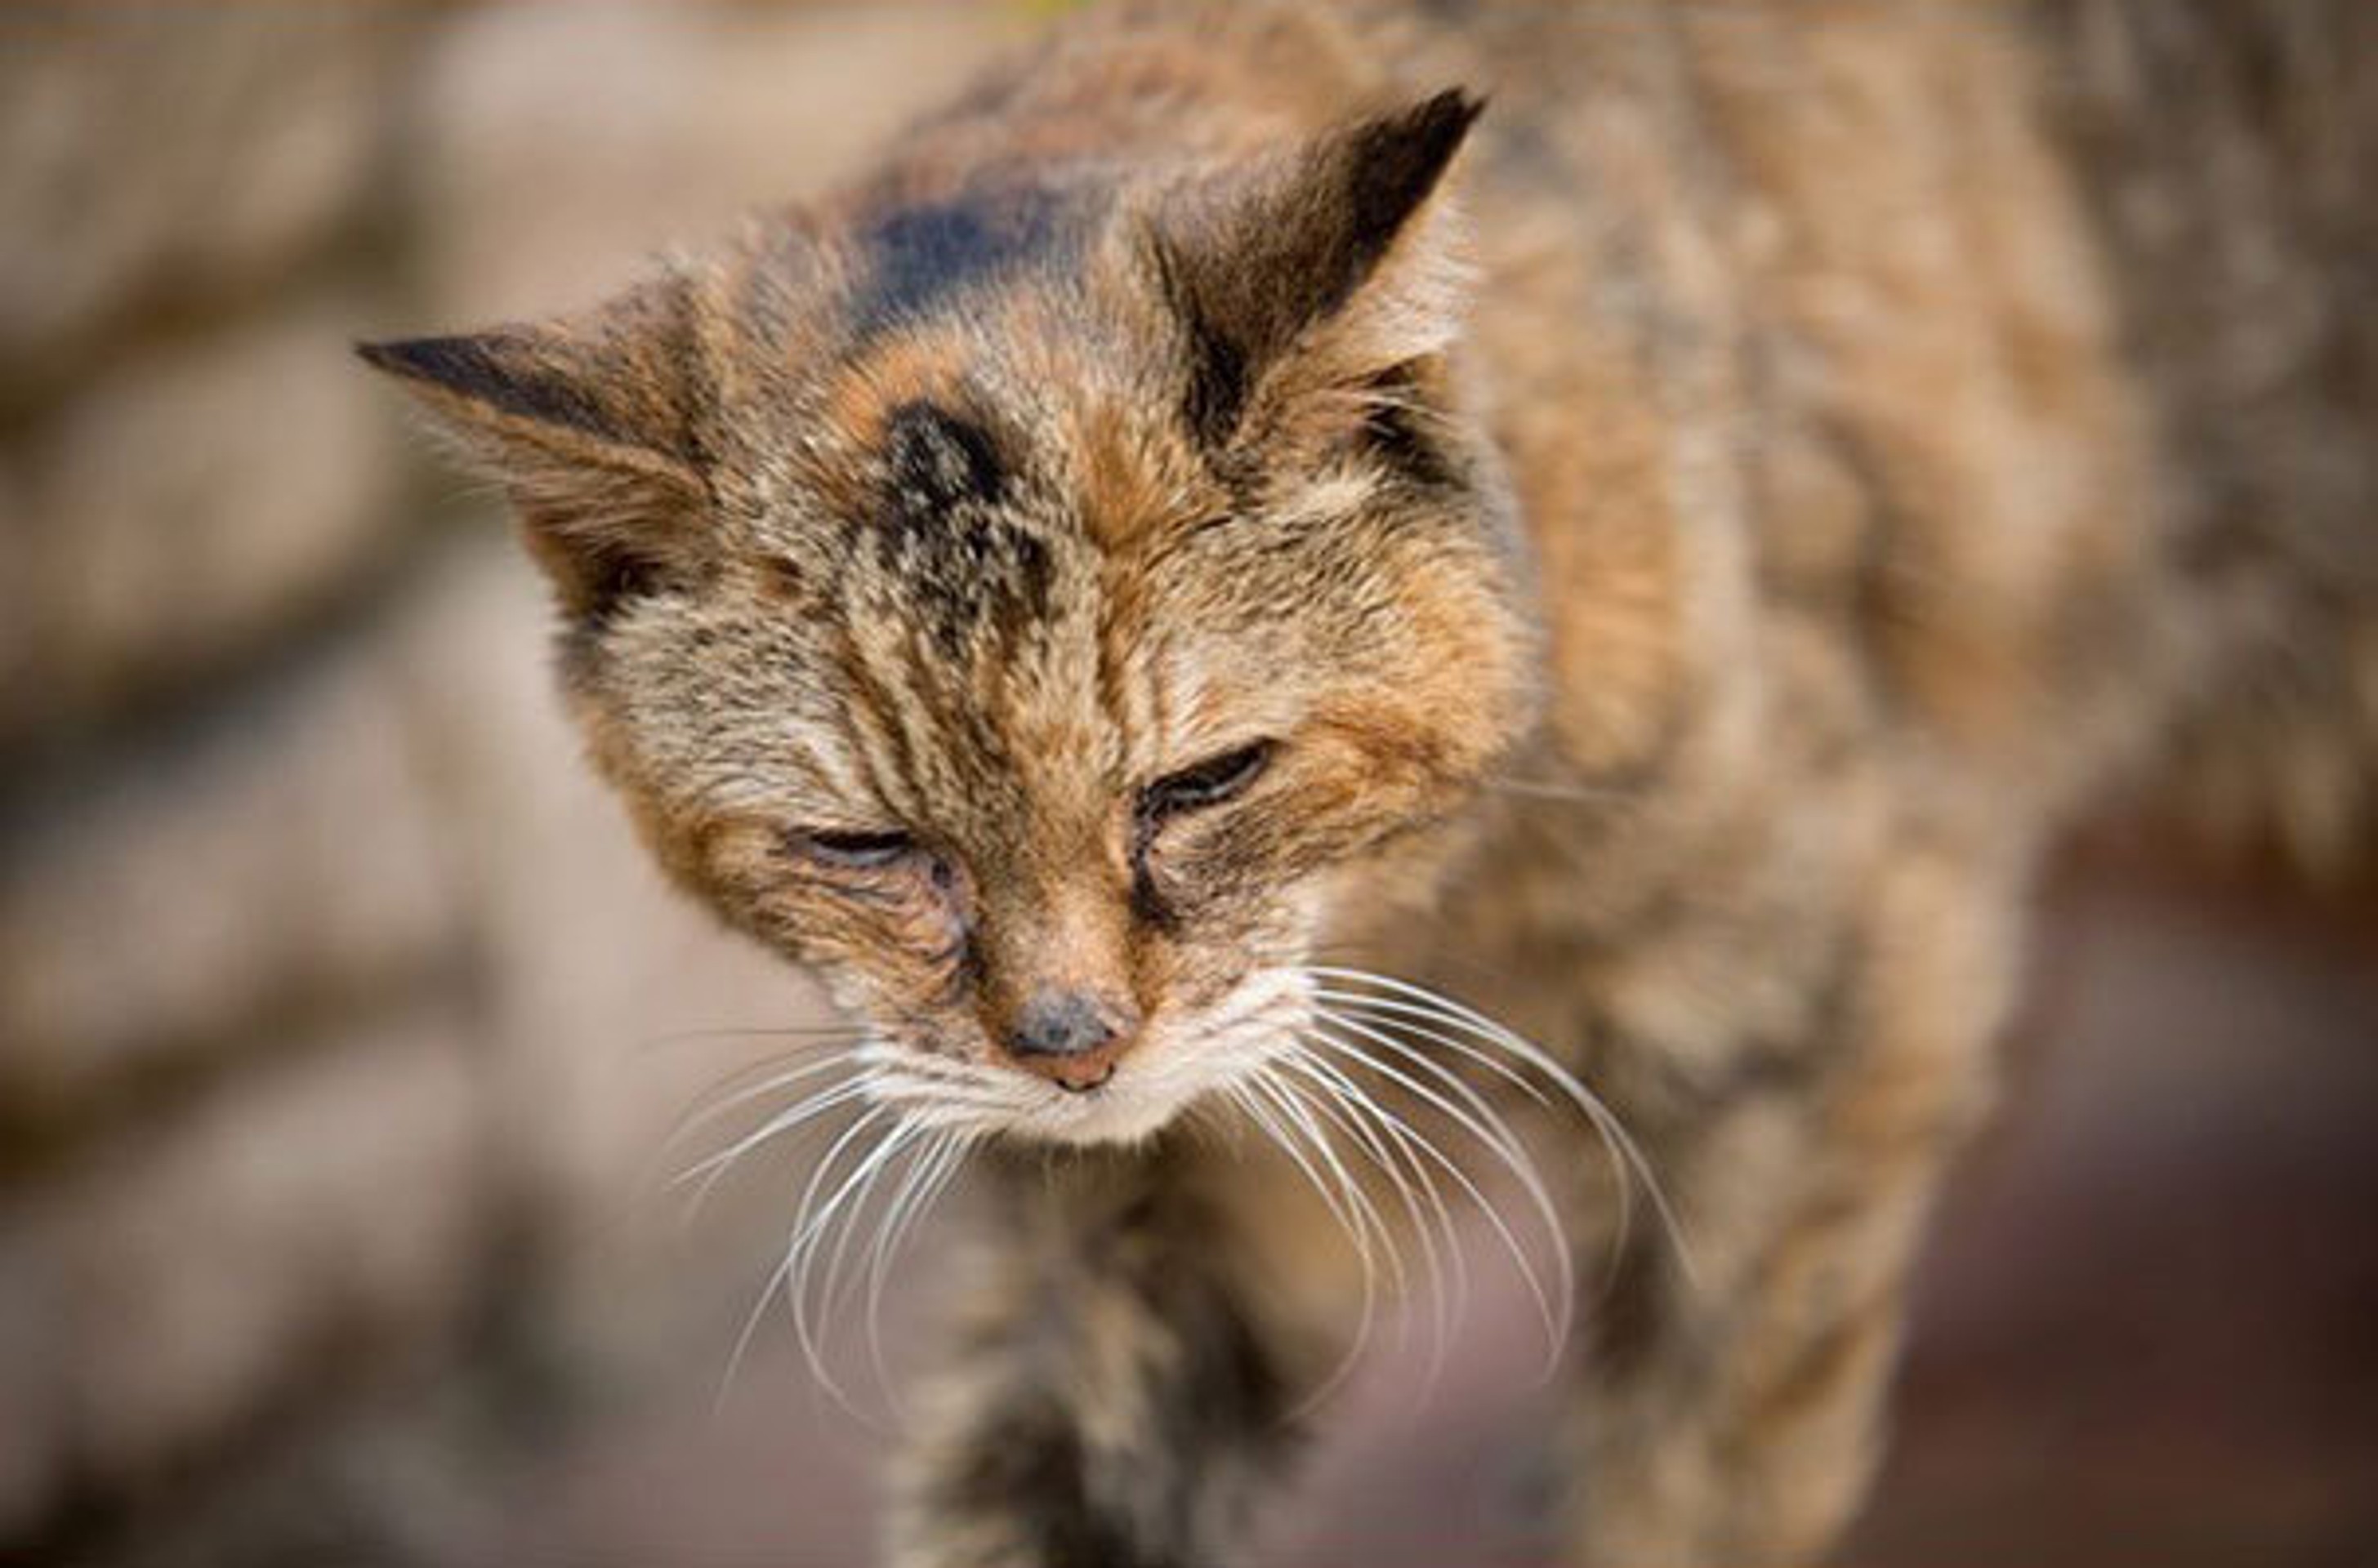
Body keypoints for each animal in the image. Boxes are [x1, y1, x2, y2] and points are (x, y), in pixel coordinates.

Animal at [356, 6, 2378, 1558]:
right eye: (868, 844)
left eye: (1204, 781)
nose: (1070, 1048)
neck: (1428, 912)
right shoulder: (1171, 1213)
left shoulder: (1832, 1009)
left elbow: (1687, 1481)